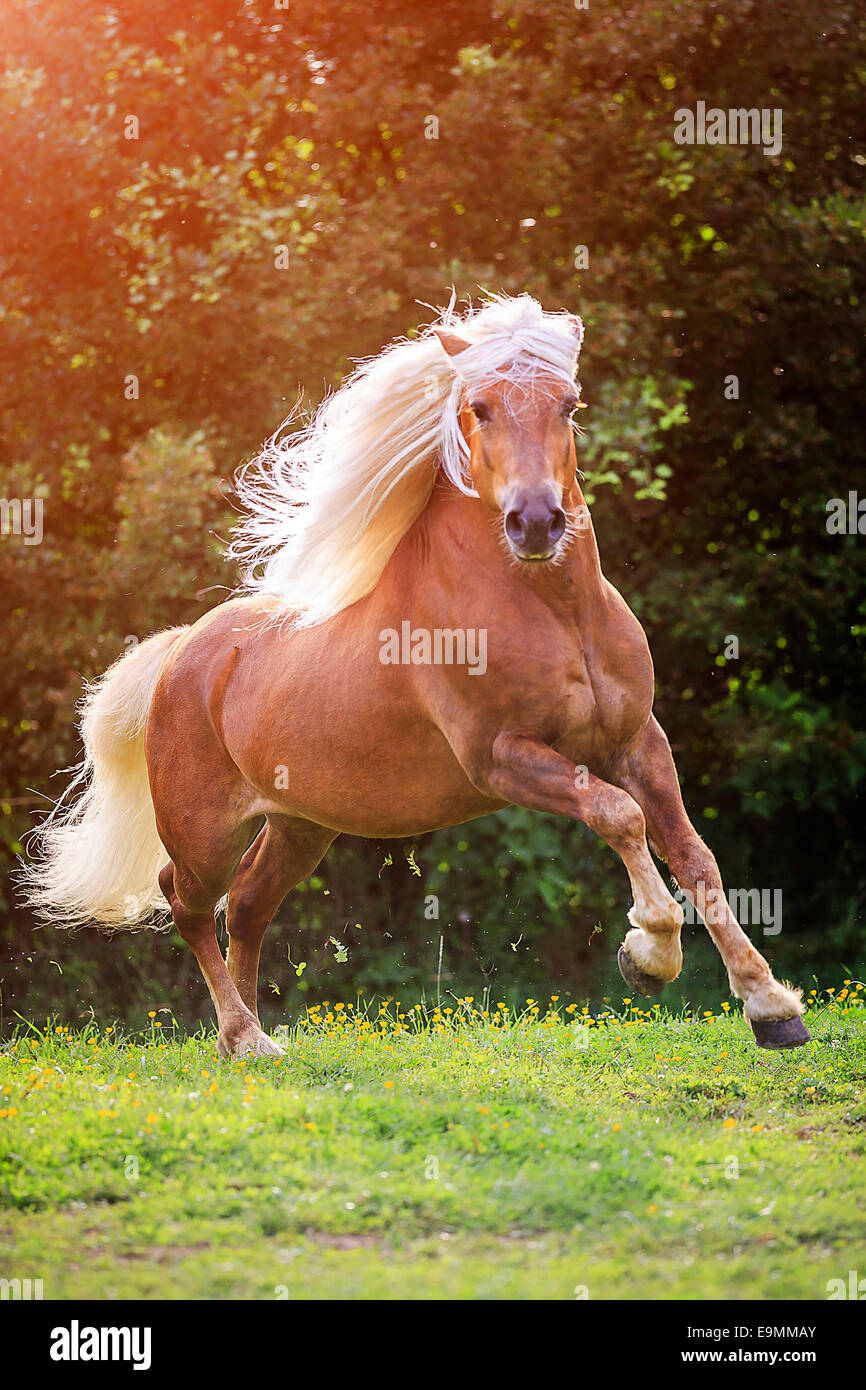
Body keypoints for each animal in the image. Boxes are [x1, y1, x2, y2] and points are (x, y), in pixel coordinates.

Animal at [22, 293, 809, 1057]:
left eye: (570, 403)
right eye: (481, 408)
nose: (535, 522)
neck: (556, 614)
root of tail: (184, 651)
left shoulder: (637, 742)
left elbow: (695, 856)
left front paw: (771, 1009)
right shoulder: (502, 758)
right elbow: (620, 815)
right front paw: (648, 954)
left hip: (299, 824)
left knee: (245, 906)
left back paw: (248, 1040)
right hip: (203, 827)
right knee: (186, 901)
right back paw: (243, 1036)